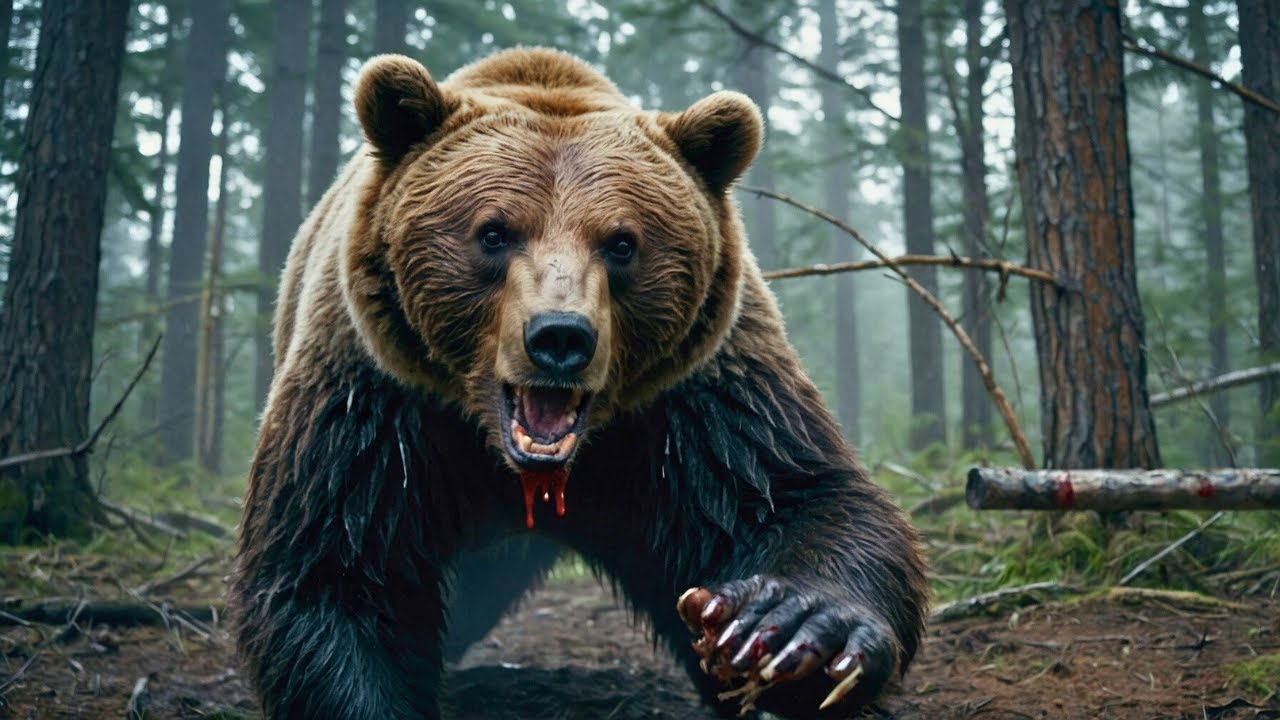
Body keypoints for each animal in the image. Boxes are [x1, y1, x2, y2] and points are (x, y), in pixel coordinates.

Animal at [231, 47, 929, 720]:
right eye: (494, 231)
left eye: (622, 242)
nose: (560, 337)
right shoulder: (376, 400)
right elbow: (333, 567)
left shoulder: (700, 396)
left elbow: (797, 493)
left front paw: (787, 629)